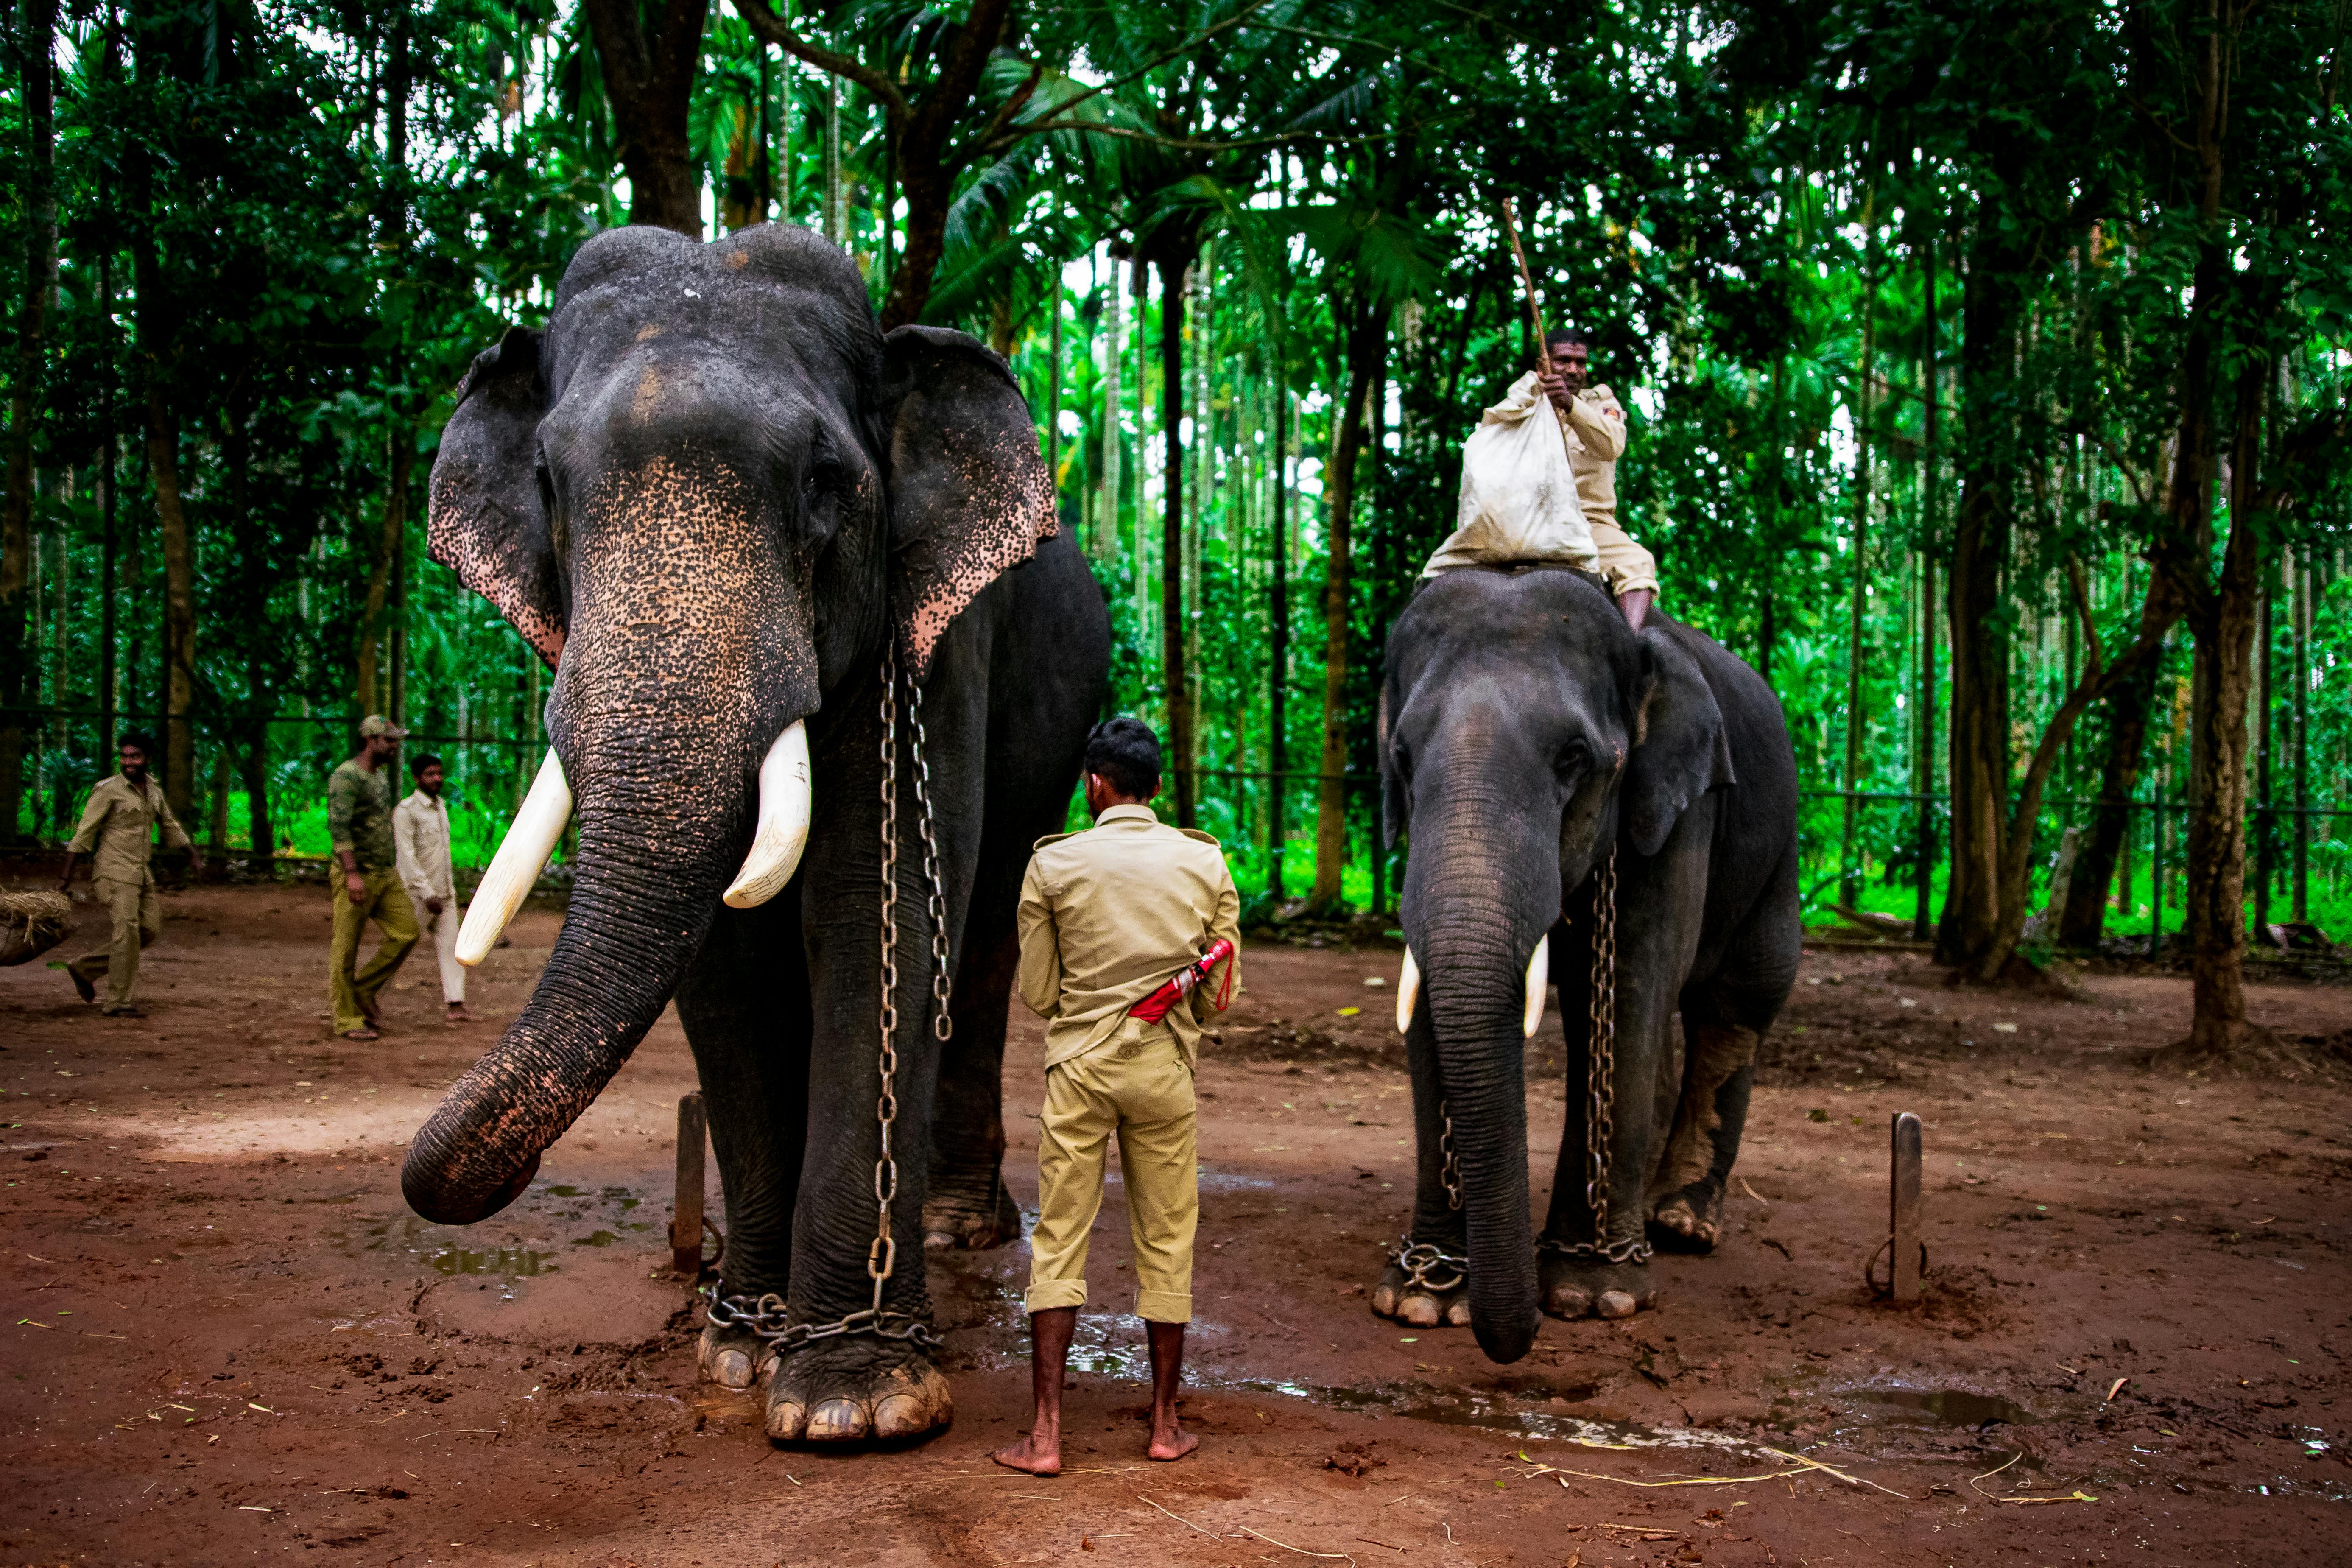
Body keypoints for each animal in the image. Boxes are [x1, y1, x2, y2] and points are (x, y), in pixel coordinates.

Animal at [400, 221, 1111, 1444]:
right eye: (548, 485)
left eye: (826, 483)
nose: (499, 1177)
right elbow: (726, 966)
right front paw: (736, 1346)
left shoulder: (930, 643)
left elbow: (875, 916)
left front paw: (857, 1398)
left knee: (981, 939)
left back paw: (954, 1226)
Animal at [1370, 563, 1798, 1364]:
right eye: (1402, 758)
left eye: (1575, 757)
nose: (1512, 1341)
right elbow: (1426, 989)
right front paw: (1421, 1299)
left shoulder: (1674, 809)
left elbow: (1632, 983)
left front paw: (1590, 1295)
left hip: (1778, 844)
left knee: (1740, 999)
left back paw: (1681, 1222)